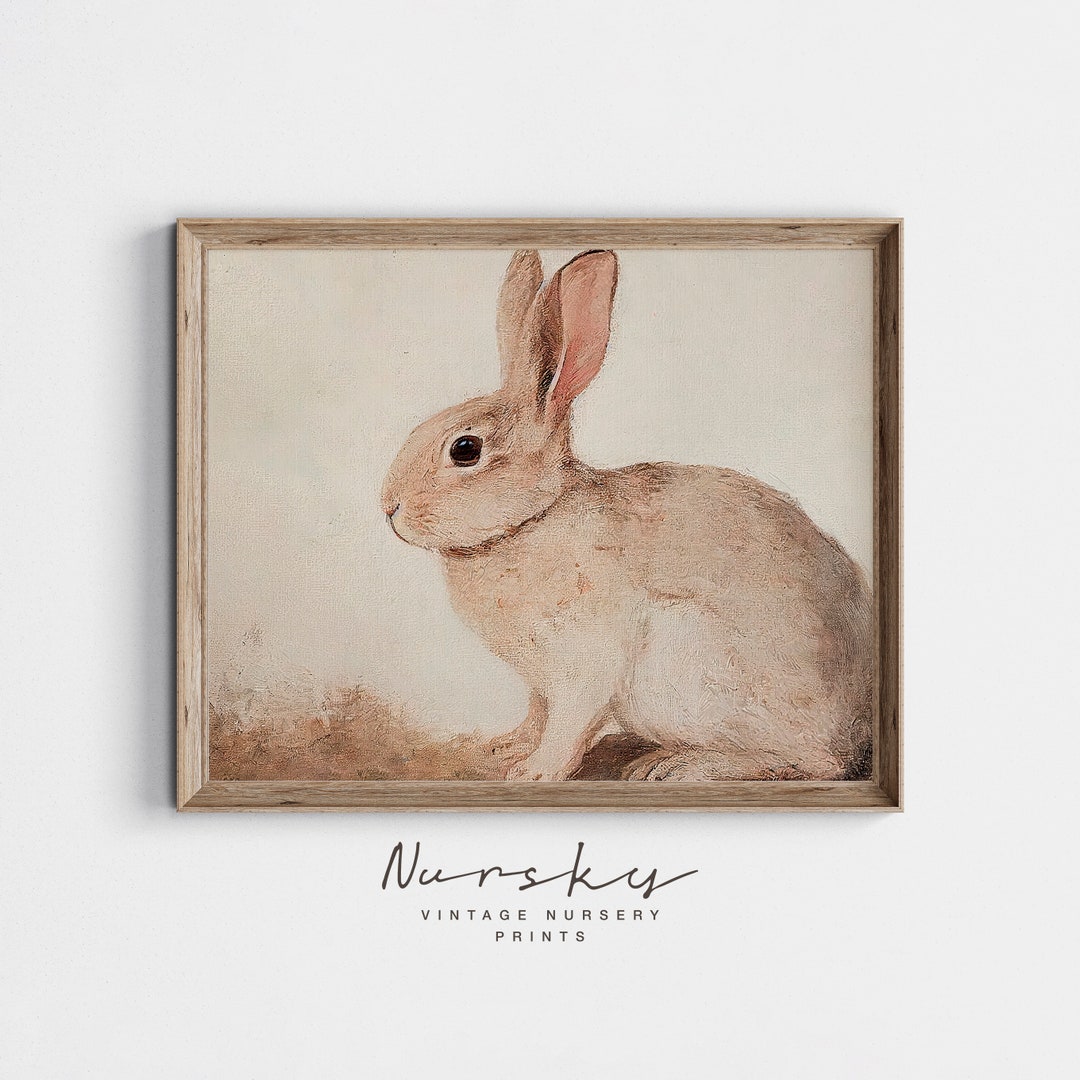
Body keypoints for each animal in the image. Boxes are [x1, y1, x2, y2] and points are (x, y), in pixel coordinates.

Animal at [380, 249, 873, 781]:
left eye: (465, 450)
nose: (389, 508)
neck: (532, 519)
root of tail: (854, 729)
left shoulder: (585, 663)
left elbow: (568, 724)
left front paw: (536, 772)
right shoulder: (539, 679)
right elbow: (537, 713)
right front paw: (505, 748)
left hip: (688, 663)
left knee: (804, 762)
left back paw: (676, 766)